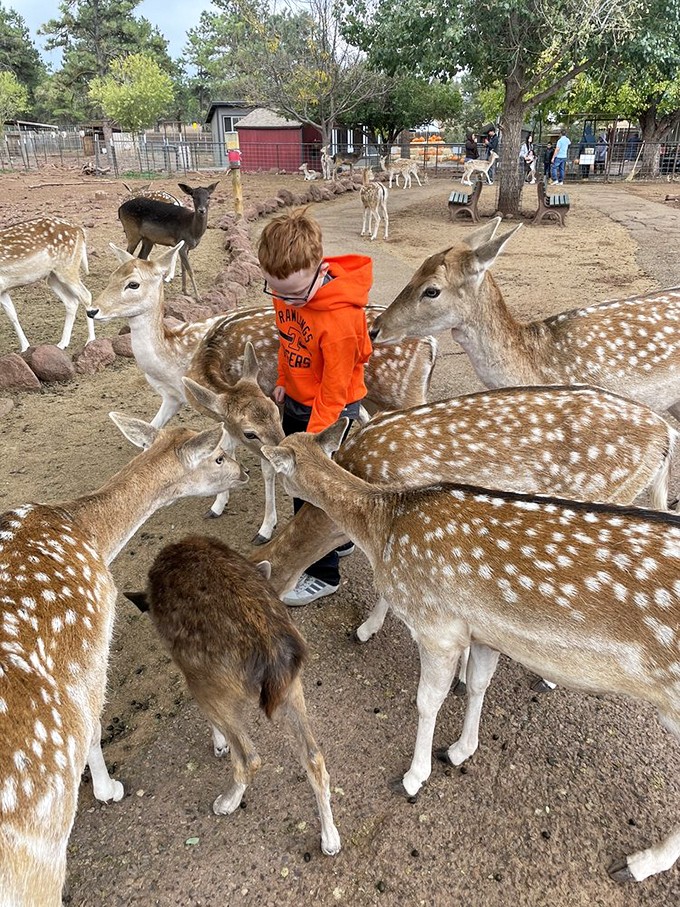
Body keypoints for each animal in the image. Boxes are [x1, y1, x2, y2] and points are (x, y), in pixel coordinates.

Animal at [0, 217, 94, 353]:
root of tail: (79, 229)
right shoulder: (3, 289)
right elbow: (12, 315)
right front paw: (25, 347)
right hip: (52, 276)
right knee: (71, 302)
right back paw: (62, 344)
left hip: (67, 267)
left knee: (86, 295)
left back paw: (90, 340)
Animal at [0, 412, 248, 907]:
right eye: (218, 456)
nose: (245, 471)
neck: (93, 534)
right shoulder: (93, 644)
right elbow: (94, 728)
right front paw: (108, 789)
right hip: (37, 848)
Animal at [123, 536, 341, 856]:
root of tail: (270, 649)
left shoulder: (189, 668)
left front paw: (219, 745)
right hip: (292, 685)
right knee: (314, 757)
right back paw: (330, 838)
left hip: (212, 682)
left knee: (250, 757)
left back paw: (226, 801)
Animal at [262, 417, 680, 884]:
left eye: (278, 465)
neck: (384, 526)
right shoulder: (483, 631)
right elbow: (479, 684)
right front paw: (459, 750)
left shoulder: (437, 626)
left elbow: (427, 701)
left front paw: (413, 776)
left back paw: (638, 863)